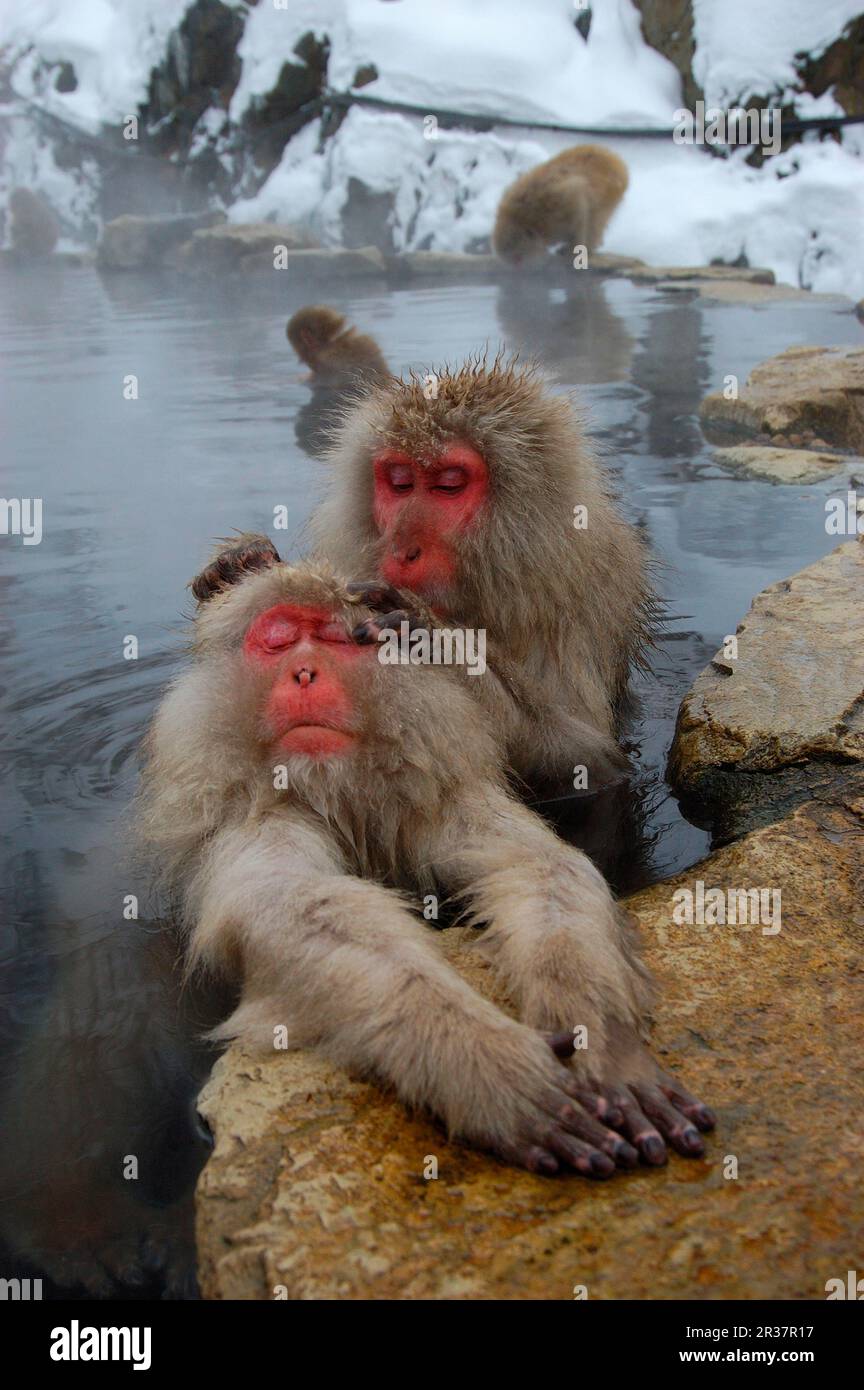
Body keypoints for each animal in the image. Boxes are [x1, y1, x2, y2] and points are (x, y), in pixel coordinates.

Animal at [137, 553, 713, 1175]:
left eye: (334, 638)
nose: (304, 674)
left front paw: (601, 1041)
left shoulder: (435, 794)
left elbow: (540, 866)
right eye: (279, 640)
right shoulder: (261, 812)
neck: (342, 791)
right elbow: (293, 904)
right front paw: (484, 1063)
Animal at [493, 145, 628, 265]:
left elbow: (579, 204)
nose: (515, 264)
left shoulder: (562, 204)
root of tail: (615, 160)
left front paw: (574, 249)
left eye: (517, 256)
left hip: (611, 194)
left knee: (596, 218)